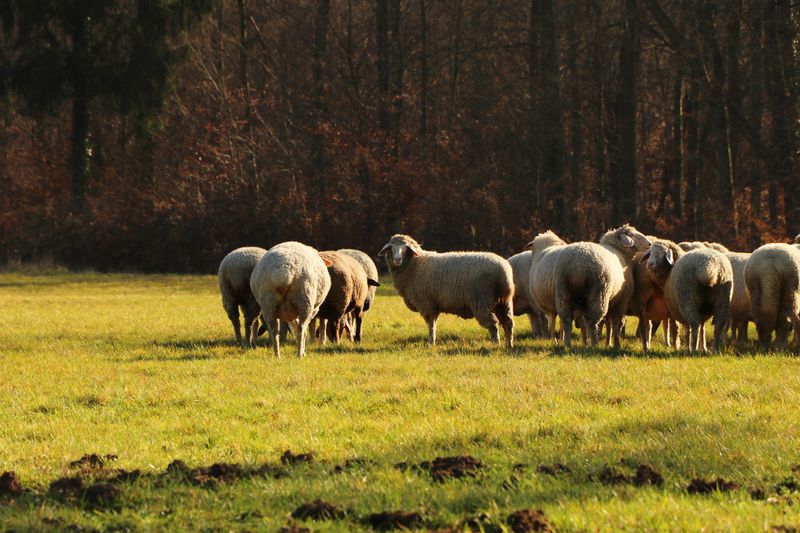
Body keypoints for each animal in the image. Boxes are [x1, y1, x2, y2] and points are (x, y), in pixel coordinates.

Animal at [378, 234, 514, 347]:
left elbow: (431, 325)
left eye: (406, 247)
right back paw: (509, 344)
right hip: (503, 301)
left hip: (481, 300)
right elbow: (434, 324)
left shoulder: (426, 303)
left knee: (493, 324)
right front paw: (432, 342)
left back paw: (496, 344)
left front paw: (430, 343)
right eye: (391, 247)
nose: (397, 259)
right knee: (508, 323)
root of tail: (503, 271)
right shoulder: (433, 304)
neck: (414, 265)